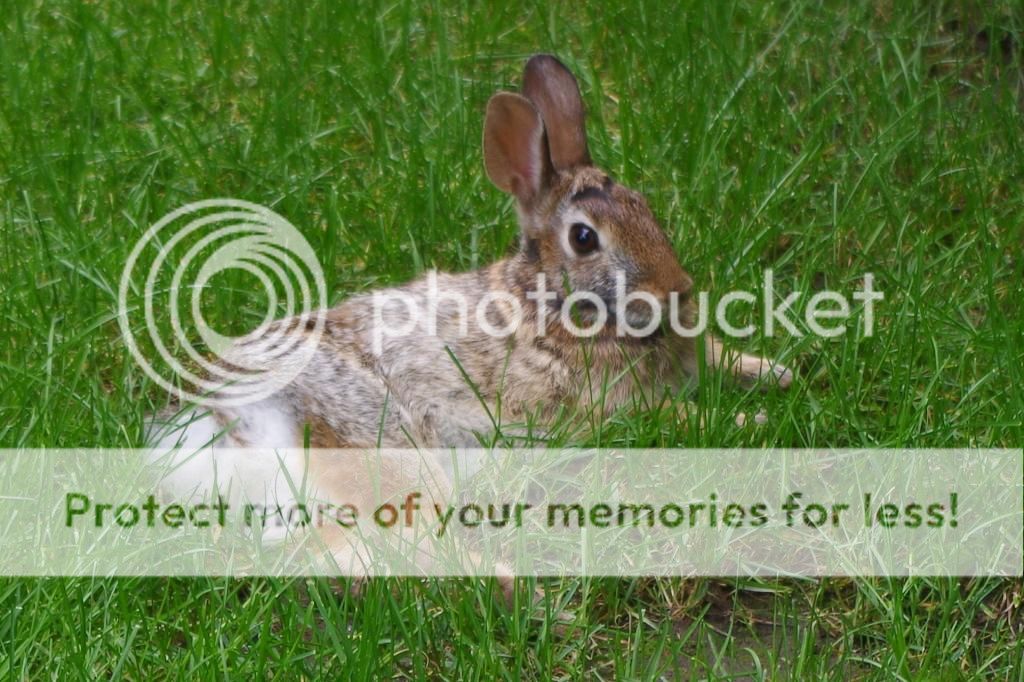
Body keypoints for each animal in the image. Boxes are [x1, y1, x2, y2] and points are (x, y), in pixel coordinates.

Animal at [148, 54, 792, 596]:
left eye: (645, 207)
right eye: (585, 238)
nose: (677, 292)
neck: (549, 301)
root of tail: (223, 427)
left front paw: (778, 374)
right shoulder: (604, 405)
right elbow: (674, 415)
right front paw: (752, 421)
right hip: (385, 448)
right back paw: (518, 590)